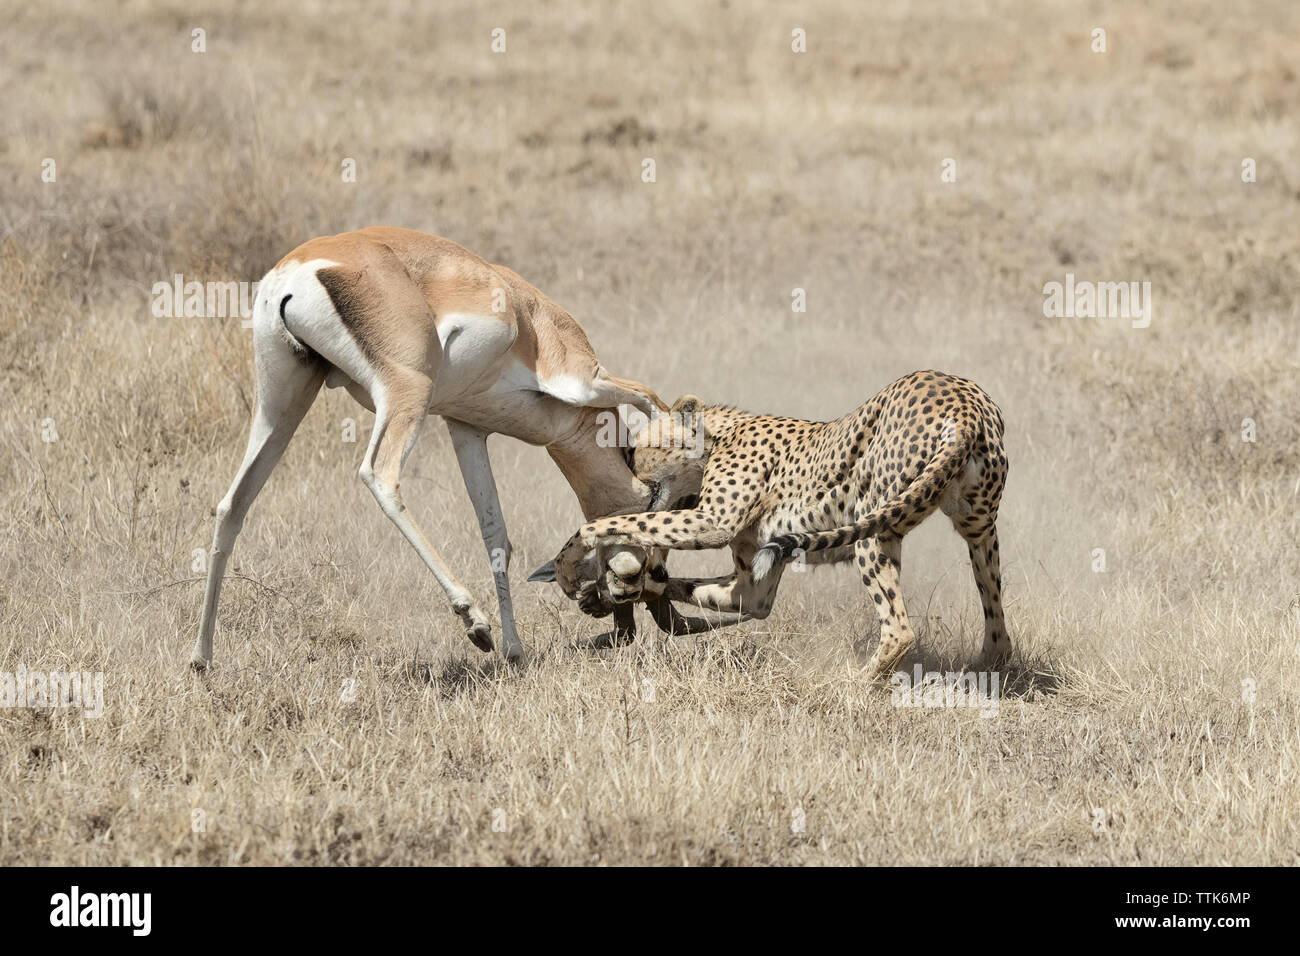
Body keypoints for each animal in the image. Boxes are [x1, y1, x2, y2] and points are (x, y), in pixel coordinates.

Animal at [191, 226, 670, 669]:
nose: (614, 615)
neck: (526, 310)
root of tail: (292, 270)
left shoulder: (466, 429)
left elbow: (495, 533)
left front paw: (514, 651)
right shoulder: (583, 379)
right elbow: (650, 398)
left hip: (282, 407)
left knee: (232, 504)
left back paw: (202, 658)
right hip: (407, 390)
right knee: (379, 475)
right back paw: (473, 619)